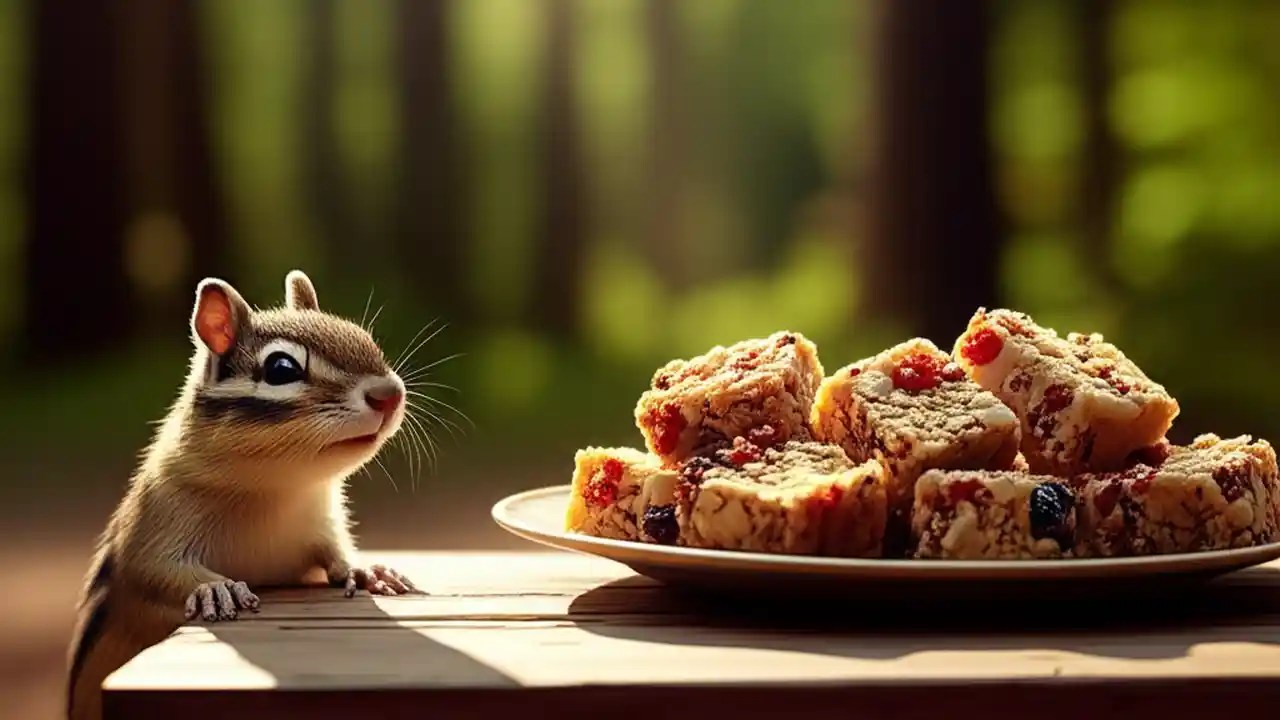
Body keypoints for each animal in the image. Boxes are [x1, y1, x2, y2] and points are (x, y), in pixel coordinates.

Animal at [66, 270, 421, 720]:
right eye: (281, 368)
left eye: (365, 338)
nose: (390, 394)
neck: (276, 490)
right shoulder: (157, 518)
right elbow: (150, 569)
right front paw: (216, 589)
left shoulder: (324, 525)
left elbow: (335, 554)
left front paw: (364, 569)